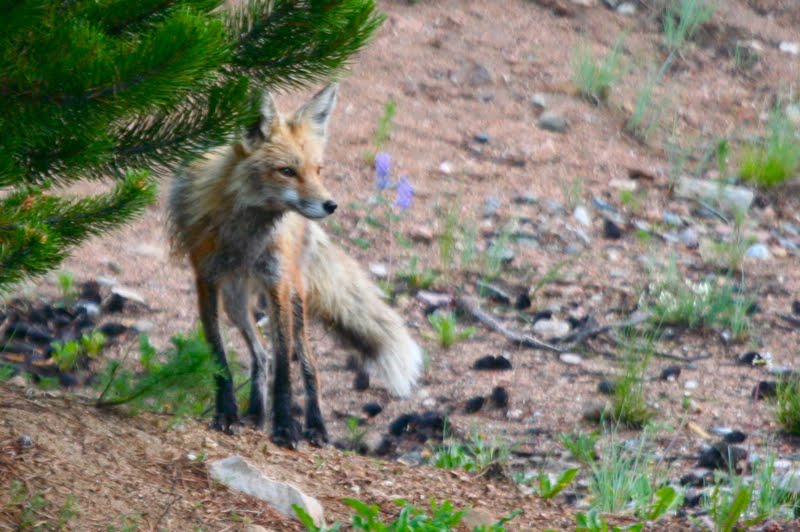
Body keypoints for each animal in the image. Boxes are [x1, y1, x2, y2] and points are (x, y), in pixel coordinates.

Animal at [167, 85, 423, 448]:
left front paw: (286, 427)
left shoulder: (277, 282)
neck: (246, 237)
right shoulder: (206, 280)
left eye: (318, 170)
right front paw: (227, 414)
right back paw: (255, 414)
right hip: (234, 300)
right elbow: (220, 358)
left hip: (296, 295)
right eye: (287, 171)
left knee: (306, 362)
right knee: (261, 354)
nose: (331, 205)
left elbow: (285, 371)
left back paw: (315, 426)